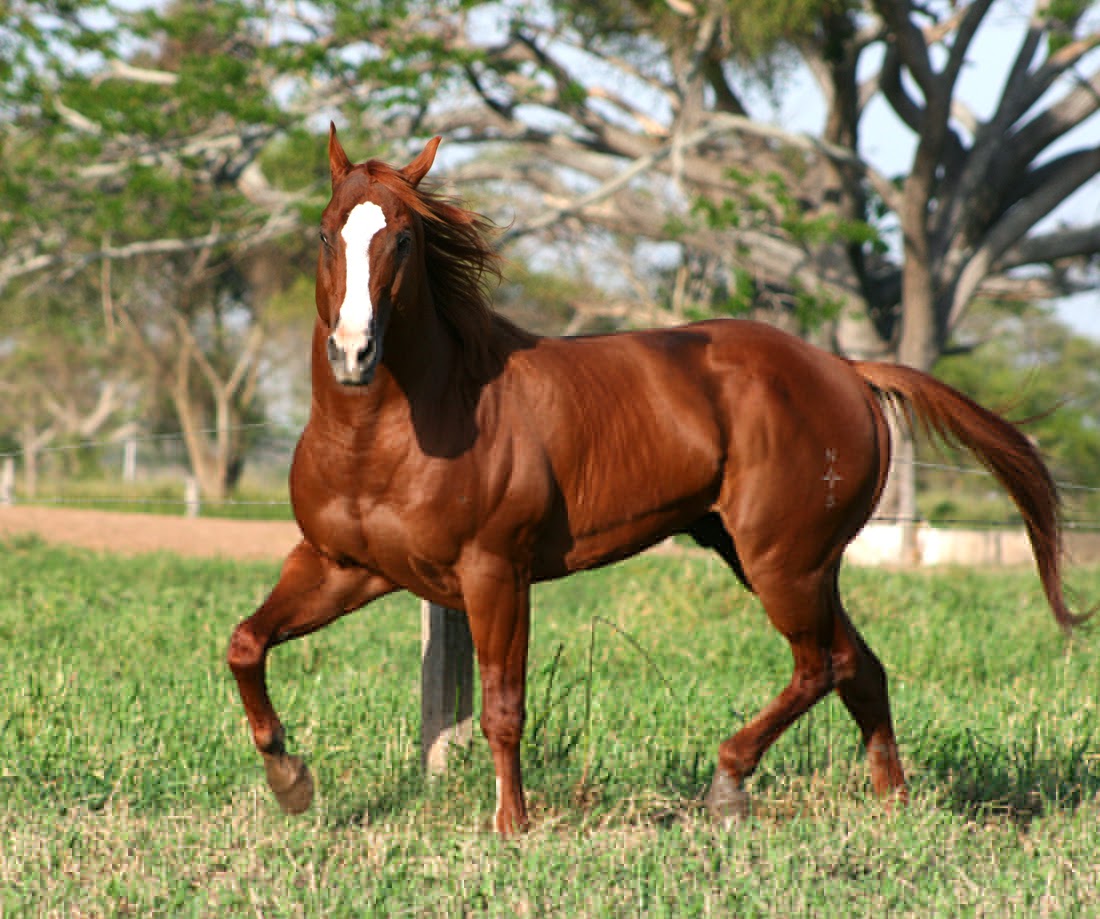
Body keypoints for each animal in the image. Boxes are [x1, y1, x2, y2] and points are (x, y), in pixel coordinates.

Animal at [227, 126, 1084, 834]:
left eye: (402, 238)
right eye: (327, 232)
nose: (353, 352)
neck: (401, 428)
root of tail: (845, 368)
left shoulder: (495, 572)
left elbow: (504, 706)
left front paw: (511, 824)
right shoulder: (347, 565)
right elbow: (246, 642)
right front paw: (291, 780)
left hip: (783, 561)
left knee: (822, 665)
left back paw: (729, 783)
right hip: (783, 561)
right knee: (859, 668)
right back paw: (892, 802)